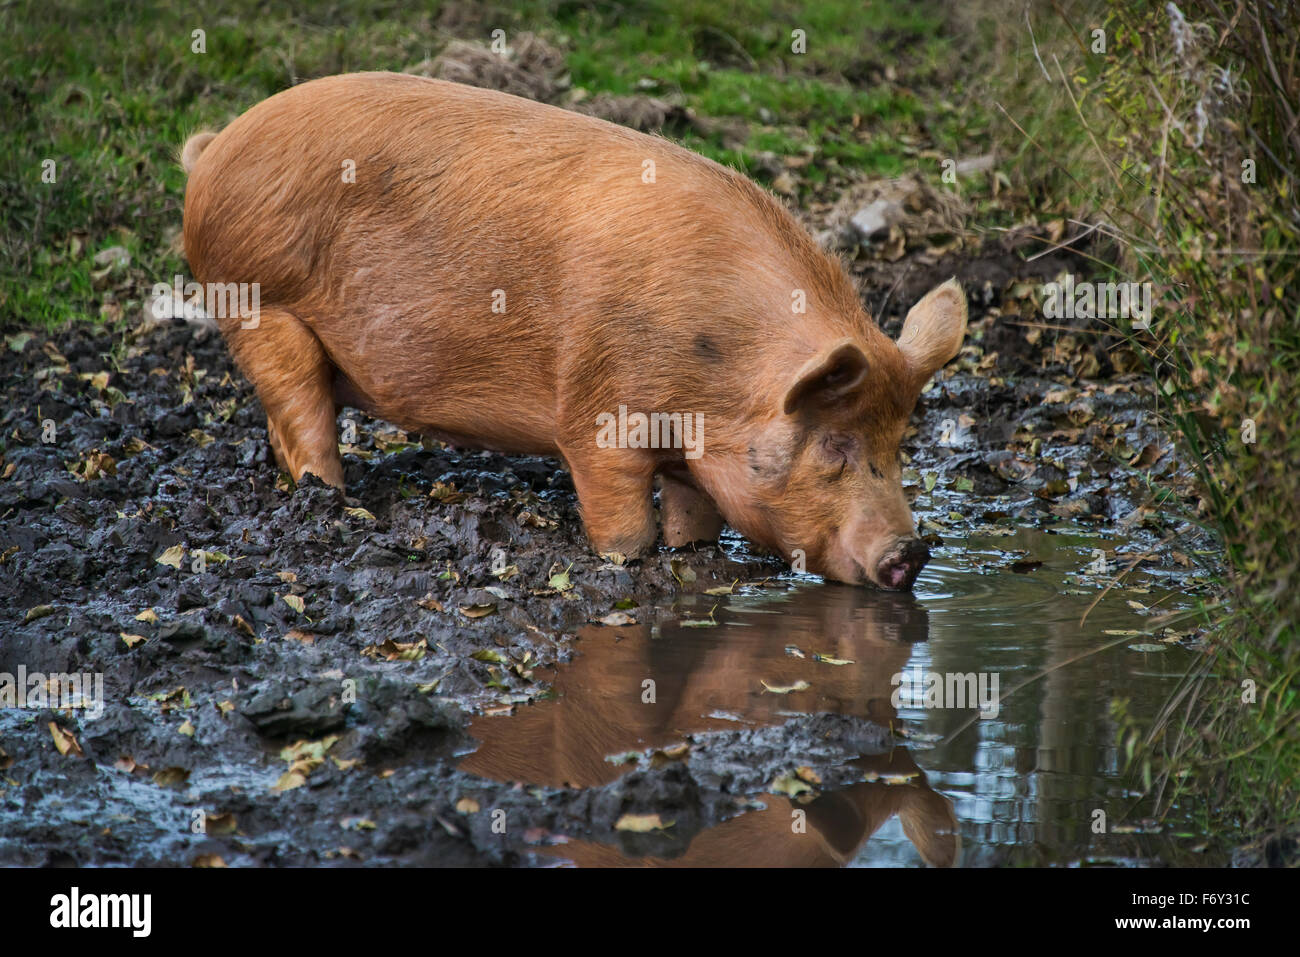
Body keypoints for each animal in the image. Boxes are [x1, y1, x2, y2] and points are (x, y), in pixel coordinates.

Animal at [181, 72, 967, 590]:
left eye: (898, 444)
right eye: (834, 444)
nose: (911, 553)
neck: (721, 375)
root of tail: (213, 150)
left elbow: (694, 512)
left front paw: (691, 554)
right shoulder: (598, 410)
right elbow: (617, 508)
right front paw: (629, 560)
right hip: (260, 305)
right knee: (302, 416)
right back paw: (336, 500)